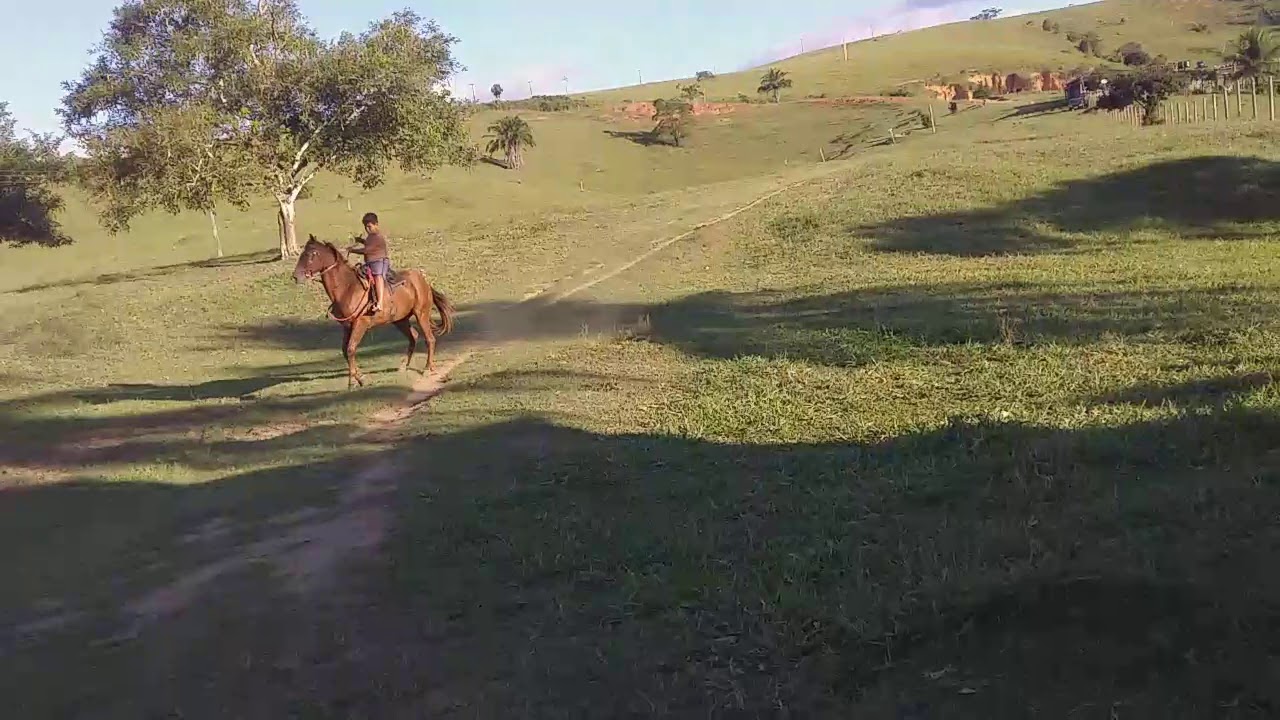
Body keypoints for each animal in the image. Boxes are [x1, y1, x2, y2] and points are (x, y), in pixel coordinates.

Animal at [292, 235, 455, 389]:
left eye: (312, 253)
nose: (295, 276)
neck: (347, 288)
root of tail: (423, 281)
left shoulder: (360, 324)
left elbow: (351, 349)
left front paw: (355, 381)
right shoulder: (347, 327)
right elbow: (345, 351)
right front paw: (357, 377)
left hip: (421, 314)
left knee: (430, 339)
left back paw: (428, 368)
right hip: (400, 320)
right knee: (413, 336)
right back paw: (404, 365)